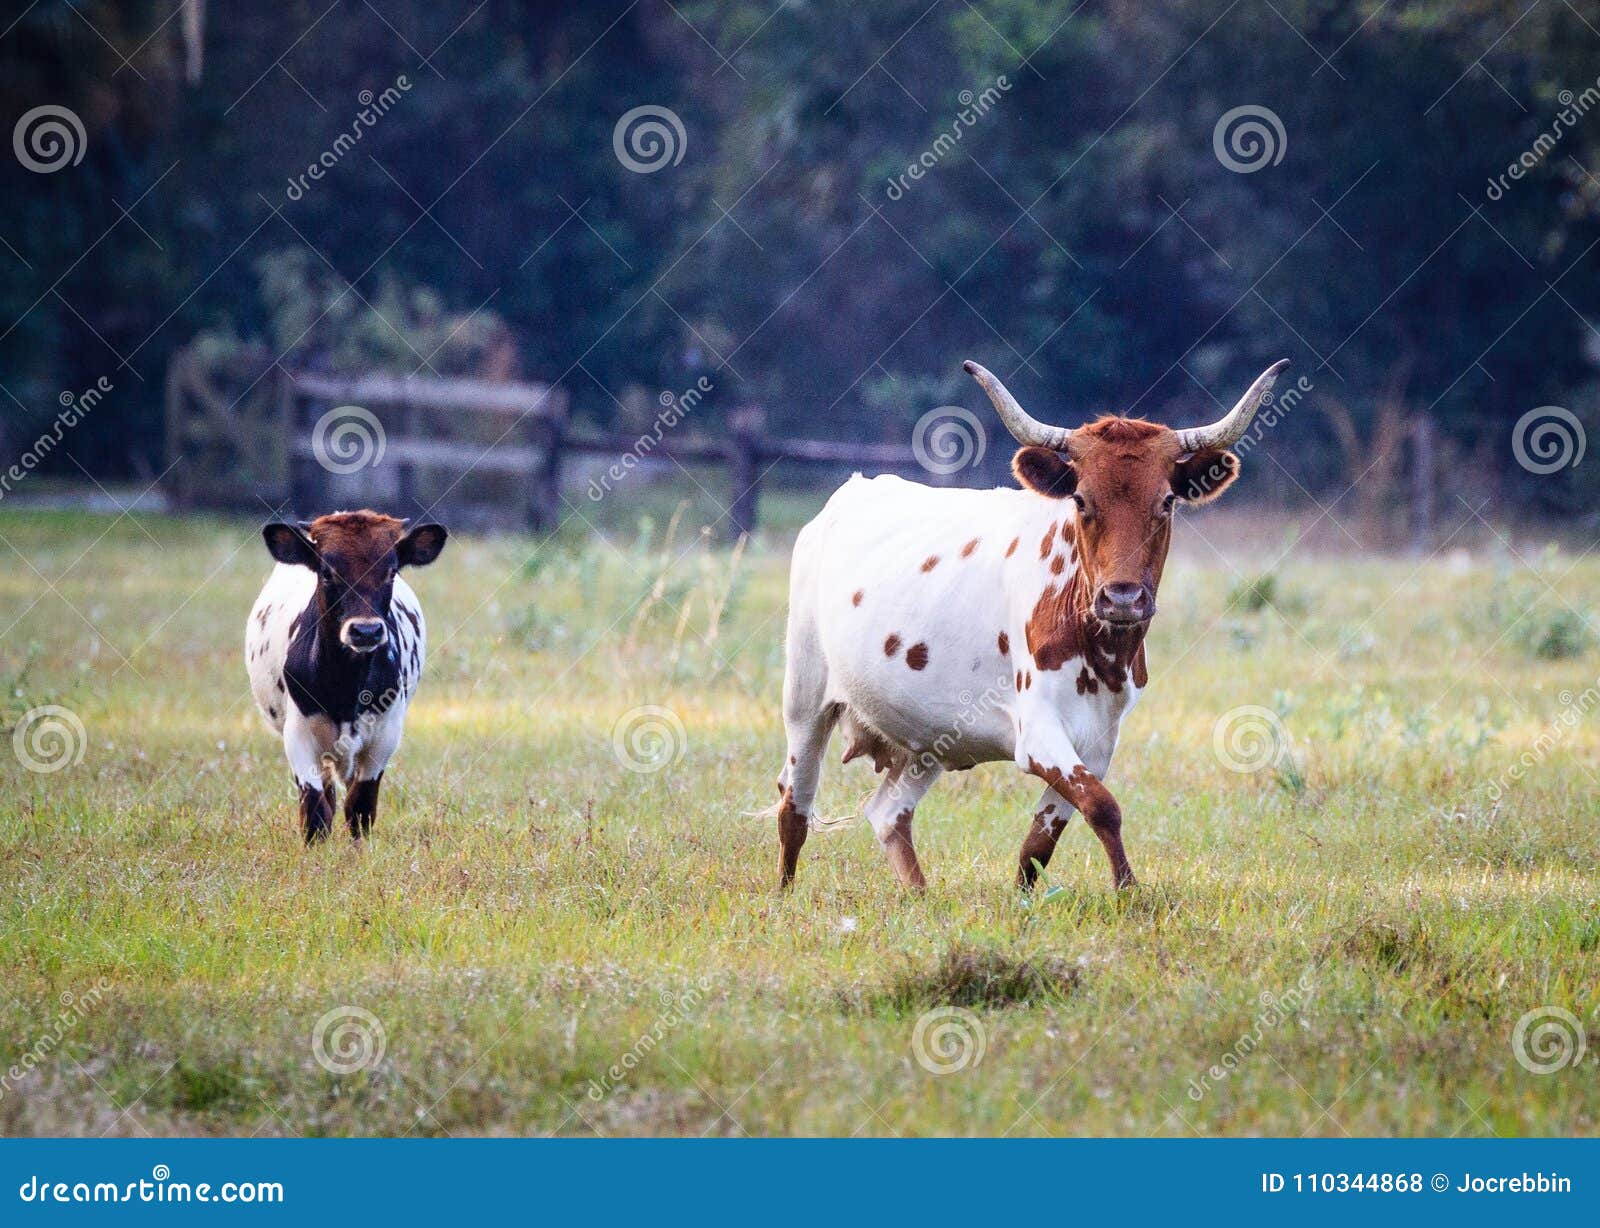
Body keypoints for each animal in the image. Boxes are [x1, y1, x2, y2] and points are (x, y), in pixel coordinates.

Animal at [245, 510, 447, 843]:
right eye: (327, 572)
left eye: (392, 572)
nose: (365, 631)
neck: (346, 685)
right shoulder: (298, 734)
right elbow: (315, 811)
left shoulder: (384, 737)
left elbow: (360, 807)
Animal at [774, 357, 1287, 892]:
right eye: (1080, 500)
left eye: (1166, 501)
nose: (1122, 597)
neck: (1098, 647)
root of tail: (850, 491)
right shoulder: (1038, 730)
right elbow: (1102, 805)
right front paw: (1130, 892)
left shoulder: (1099, 740)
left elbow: (1043, 838)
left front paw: (1030, 899)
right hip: (805, 697)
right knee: (794, 804)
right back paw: (785, 895)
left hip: (929, 732)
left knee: (888, 812)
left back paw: (918, 896)